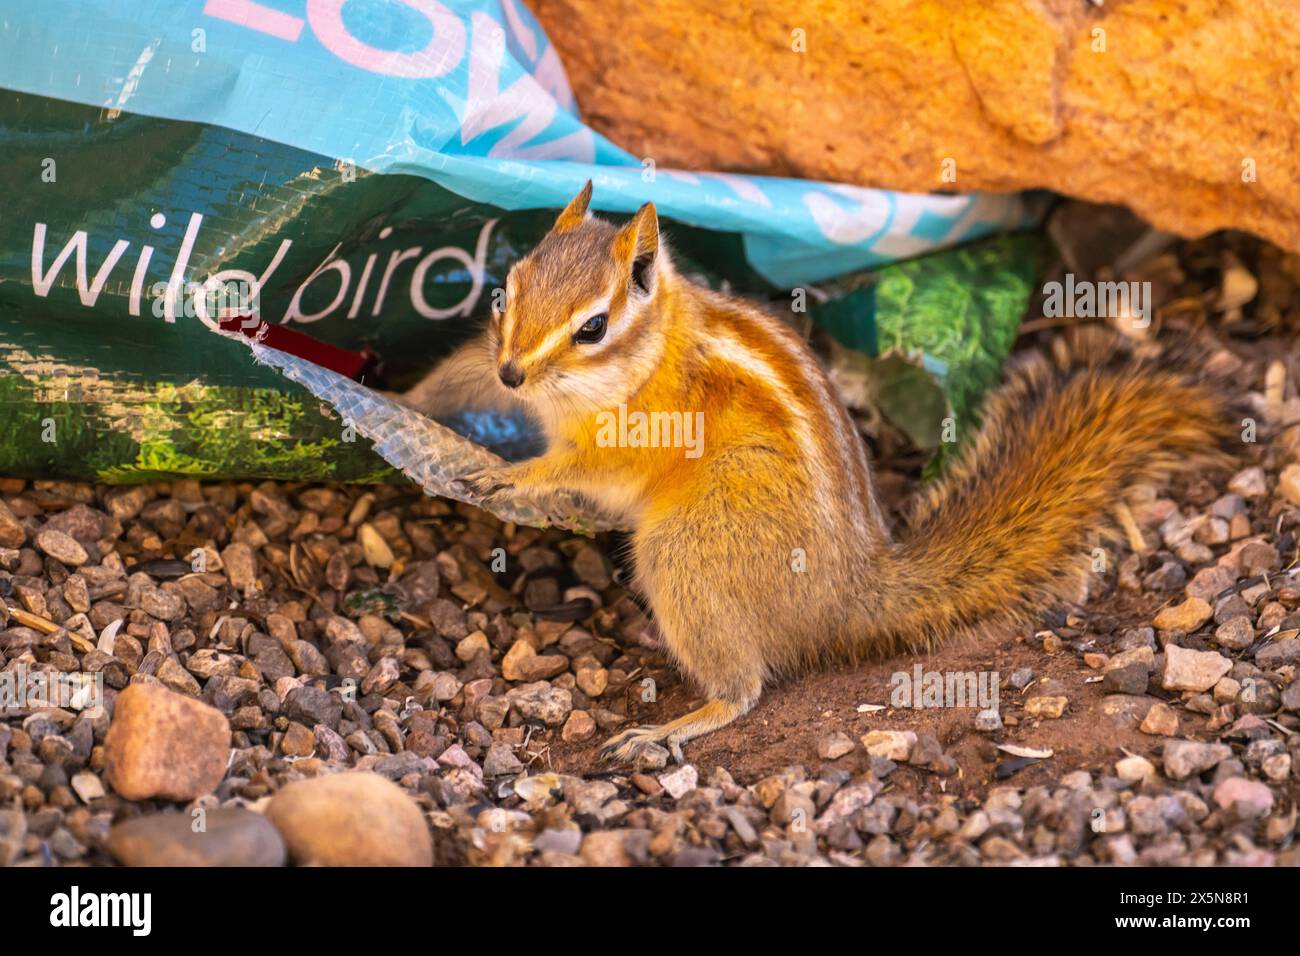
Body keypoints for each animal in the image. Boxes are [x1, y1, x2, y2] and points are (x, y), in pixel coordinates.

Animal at [404, 181, 1235, 765]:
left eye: (594, 327)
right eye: (510, 285)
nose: (514, 373)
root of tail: (853, 590)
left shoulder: (634, 434)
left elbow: (581, 466)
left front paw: (515, 476)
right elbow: (460, 380)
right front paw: (402, 400)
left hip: (688, 550)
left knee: (743, 689)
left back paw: (674, 725)